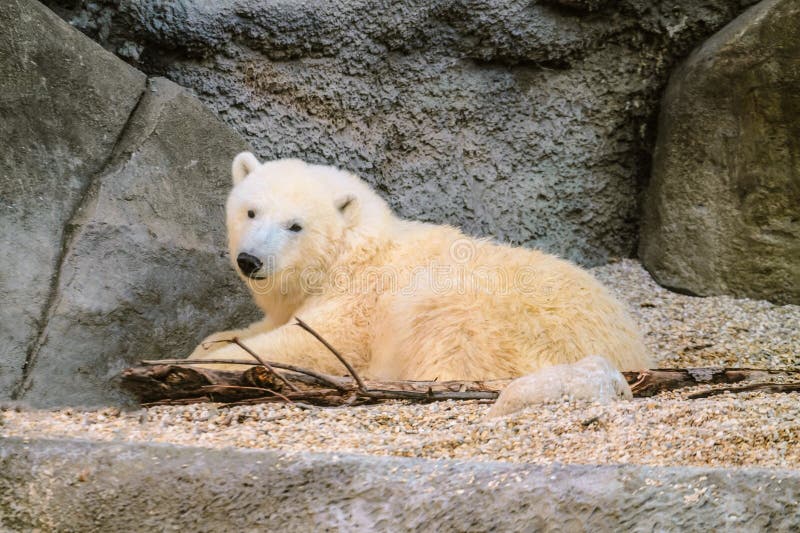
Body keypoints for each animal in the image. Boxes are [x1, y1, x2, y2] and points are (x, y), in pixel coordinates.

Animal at [189, 152, 650, 398]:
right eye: (251, 211)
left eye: (295, 225)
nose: (250, 260)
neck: (354, 251)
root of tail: (630, 351)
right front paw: (214, 341)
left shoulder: (361, 300)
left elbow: (315, 341)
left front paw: (208, 359)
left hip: (481, 314)